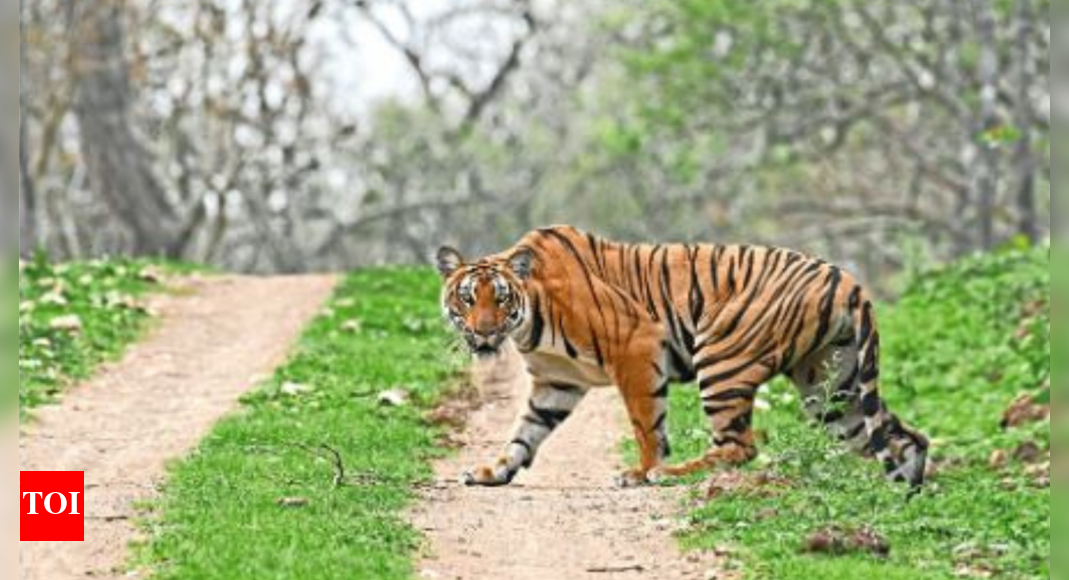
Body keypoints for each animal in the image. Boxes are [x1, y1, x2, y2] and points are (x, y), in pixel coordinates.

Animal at [437, 225, 929, 489]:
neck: (527, 321)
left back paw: (672, 474)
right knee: (905, 437)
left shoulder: (636, 345)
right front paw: (493, 471)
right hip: (831, 387)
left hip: (722, 358)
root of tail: (846, 278)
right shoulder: (557, 382)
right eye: (468, 298)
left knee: (740, 445)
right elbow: (525, 433)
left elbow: (646, 424)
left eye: (500, 299)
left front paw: (642, 471)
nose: (483, 331)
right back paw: (905, 491)